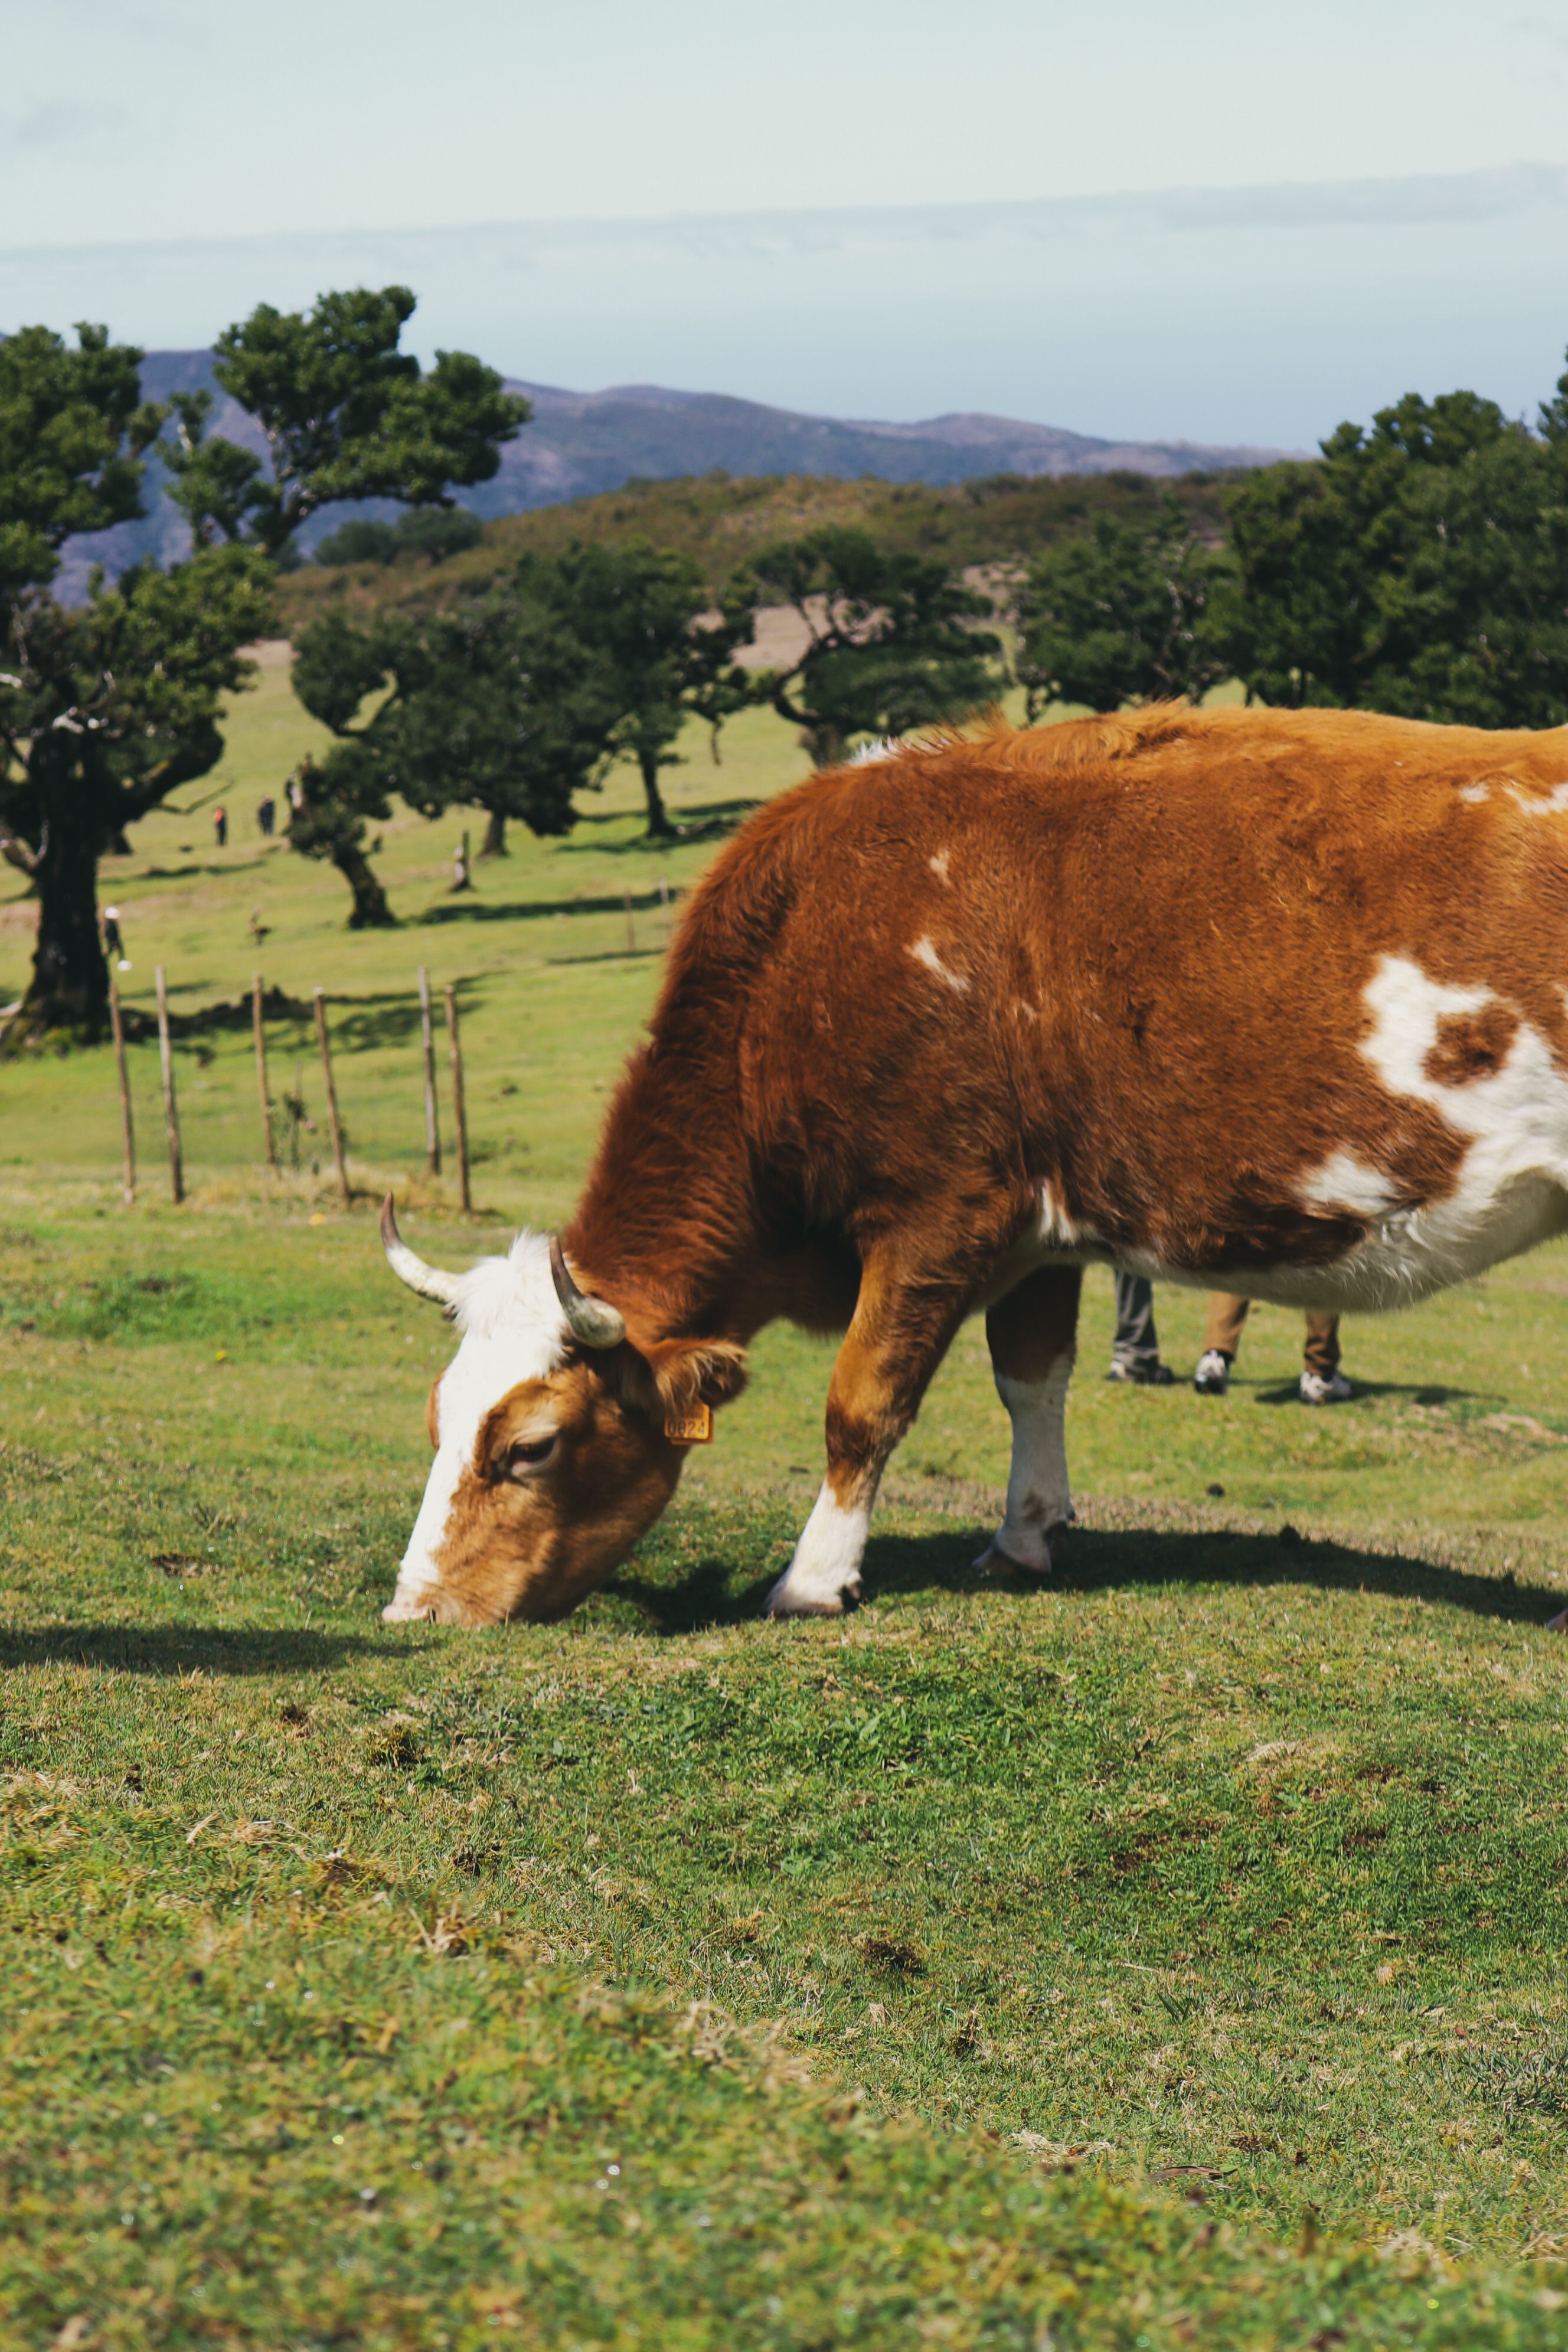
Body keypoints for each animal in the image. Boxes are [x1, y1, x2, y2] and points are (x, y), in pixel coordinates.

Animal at [378, 701, 1568, 1626]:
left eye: (532, 1446)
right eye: (437, 1421)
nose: (414, 1609)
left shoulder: (941, 1209)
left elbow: (861, 1398)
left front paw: (813, 1579)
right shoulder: (1044, 1229)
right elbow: (1031, 1375)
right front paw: (1024, 1538)